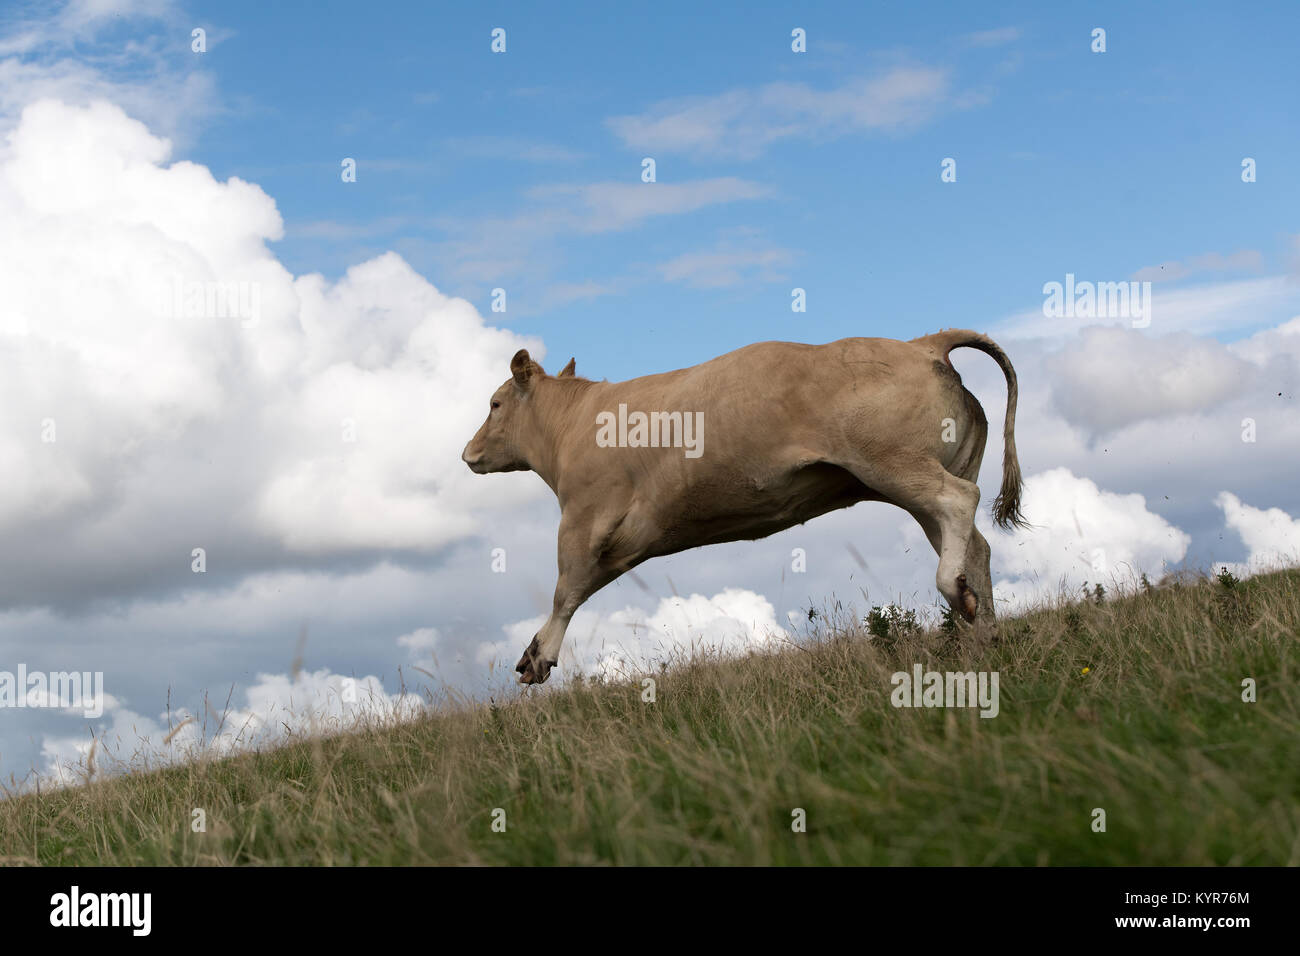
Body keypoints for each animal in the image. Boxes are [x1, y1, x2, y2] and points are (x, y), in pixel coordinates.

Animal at [462, 330, 1027, 685]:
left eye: (494, 404)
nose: (468, 454)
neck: (573, 423)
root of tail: (923, 343)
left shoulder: (582, 521)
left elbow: (565, 592)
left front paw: (539, 656)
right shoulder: (632, 539)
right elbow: (580, 588)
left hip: (893, 463)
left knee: (961, 502)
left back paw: (956, 594)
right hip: (920, 481)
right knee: (976, 545)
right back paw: (985, 639)